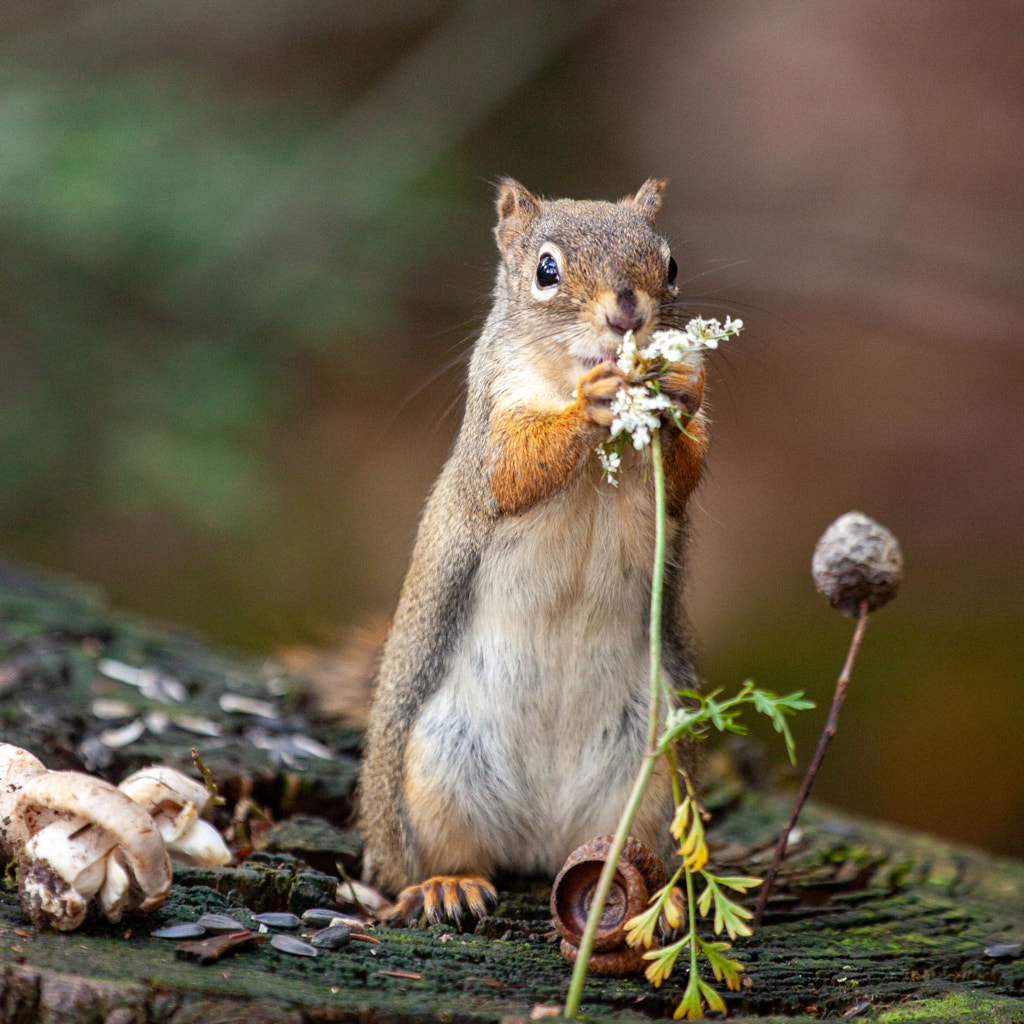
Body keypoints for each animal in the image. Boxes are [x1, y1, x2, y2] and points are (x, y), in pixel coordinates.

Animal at [358, 179, 708, 924]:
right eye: (546, 269)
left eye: (670, 264)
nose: (627, 314)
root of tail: (542, 843)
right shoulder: (494, 417)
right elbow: (514, 470)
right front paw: (590, 403)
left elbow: (684, 478)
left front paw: (678, 391)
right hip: (435, 770)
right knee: (443, 856)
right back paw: (447, 885)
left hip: (651, 775)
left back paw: (659, 901)